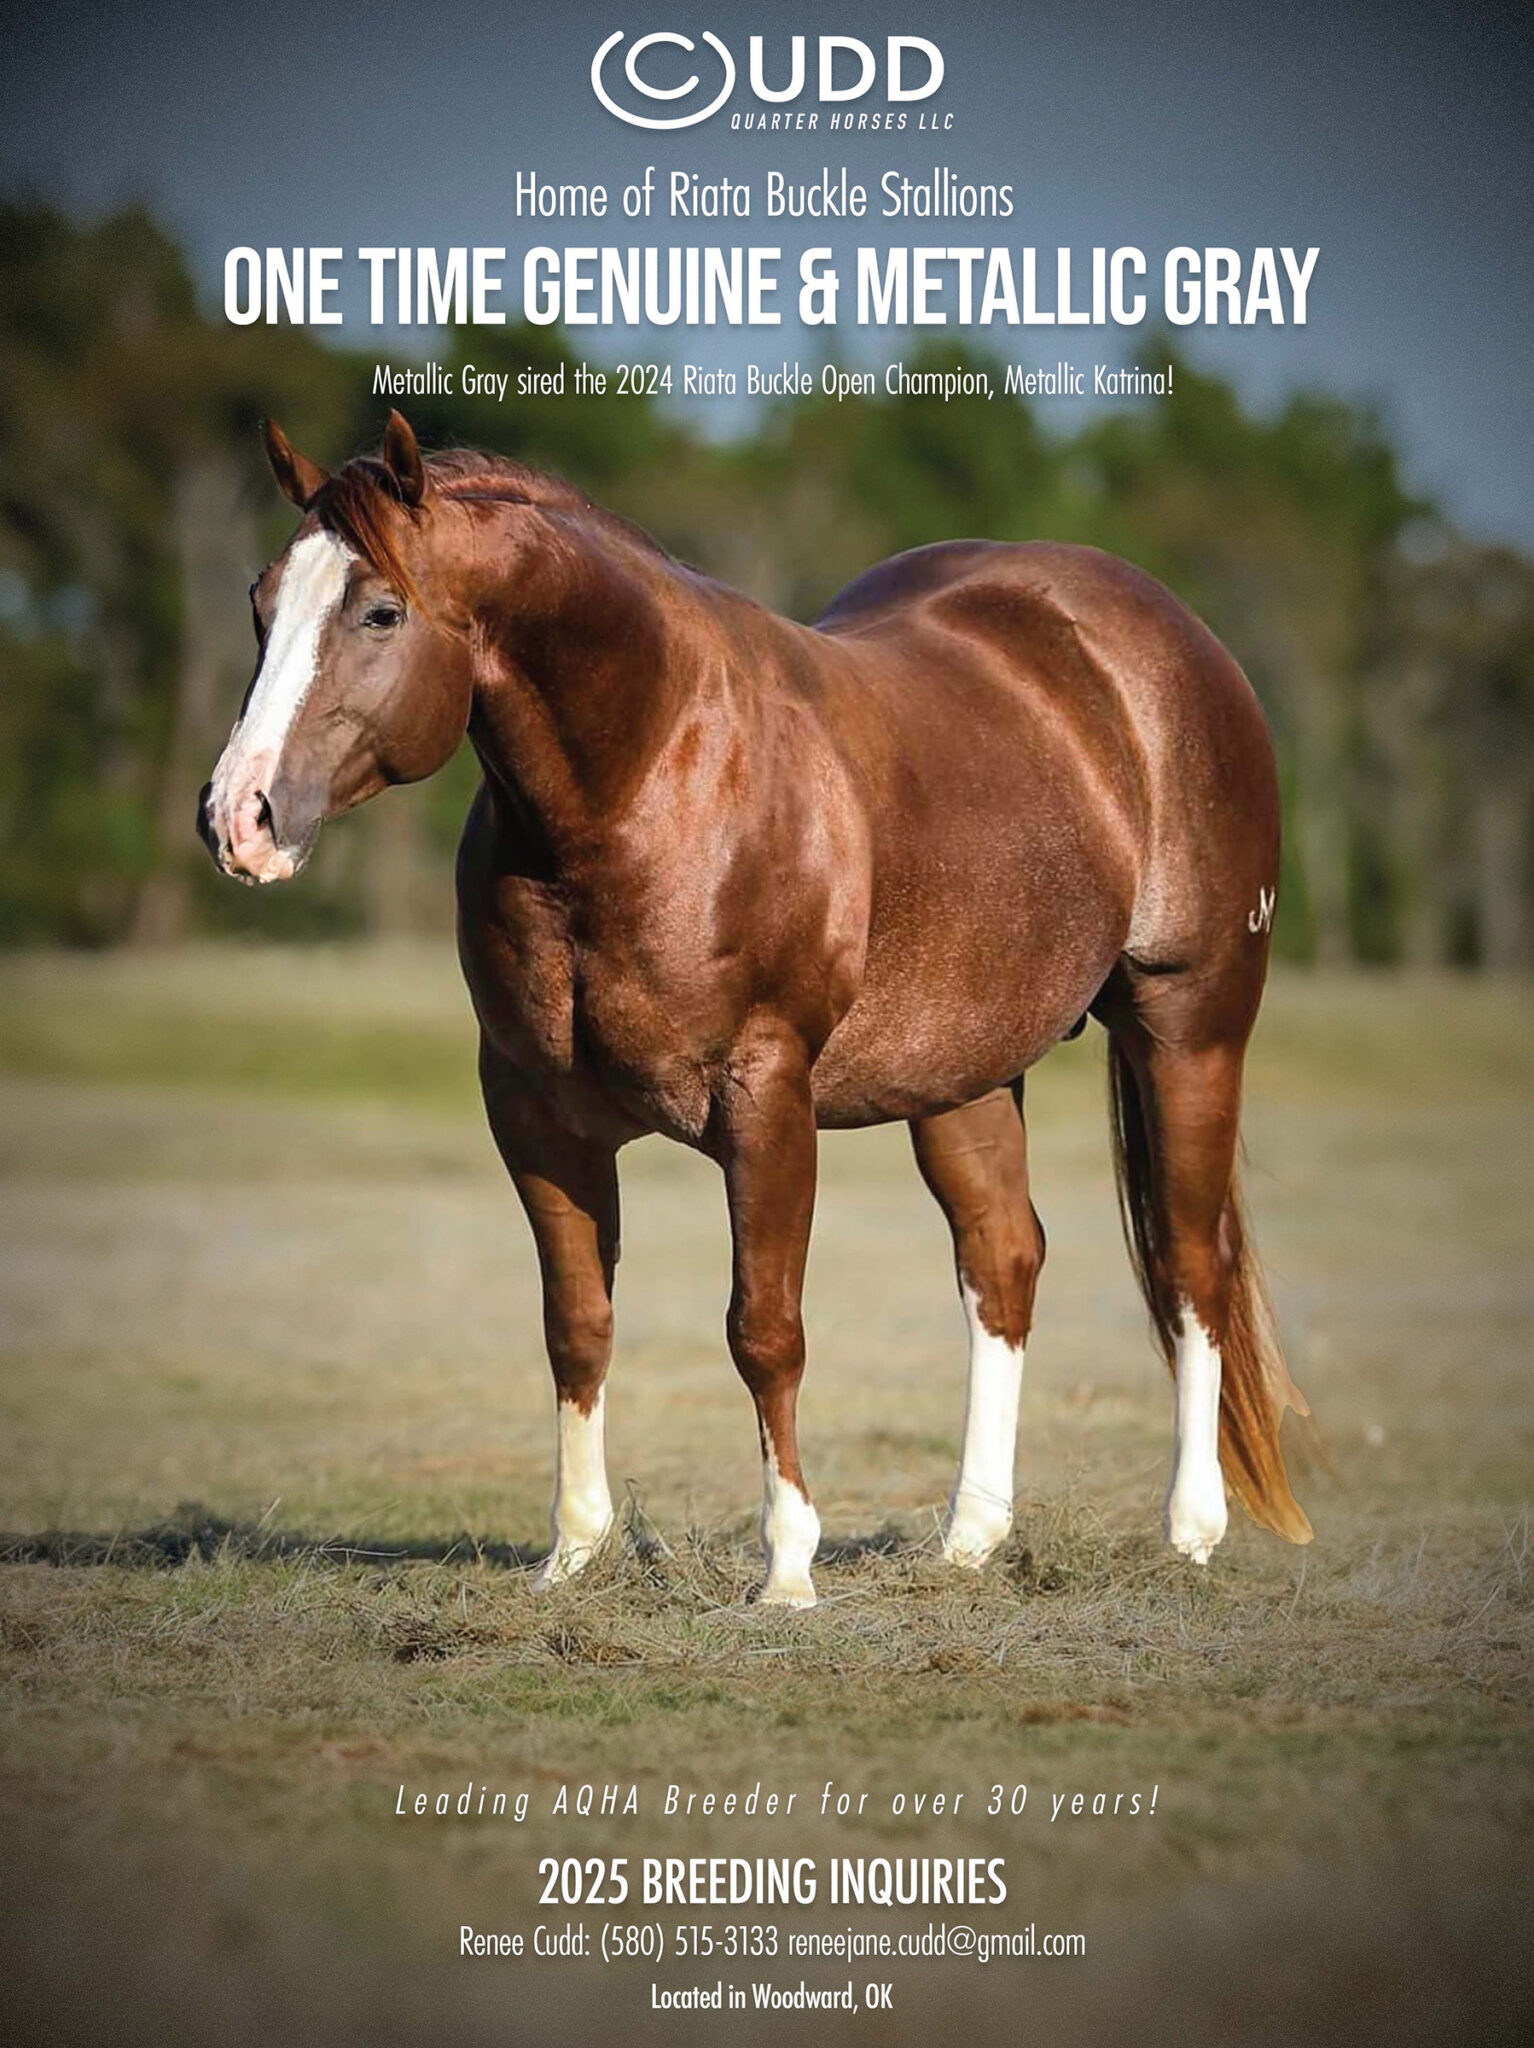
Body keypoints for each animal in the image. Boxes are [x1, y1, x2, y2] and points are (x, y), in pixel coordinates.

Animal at [199, 410, 1312, 1607]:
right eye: (261, 602)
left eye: (380, 610)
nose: (238, 816)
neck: (651, 776)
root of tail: (1164, 641)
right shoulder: (533, 1115)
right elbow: (576, 1325)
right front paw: (571, 1555)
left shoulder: (766, 1098)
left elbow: (763, 1328)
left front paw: (787, 1569)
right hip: (962, 1074)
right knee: (1001, 1260)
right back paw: (971, 1537)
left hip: (1188, 1024)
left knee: (1190, 1262)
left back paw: (1191, 1528)